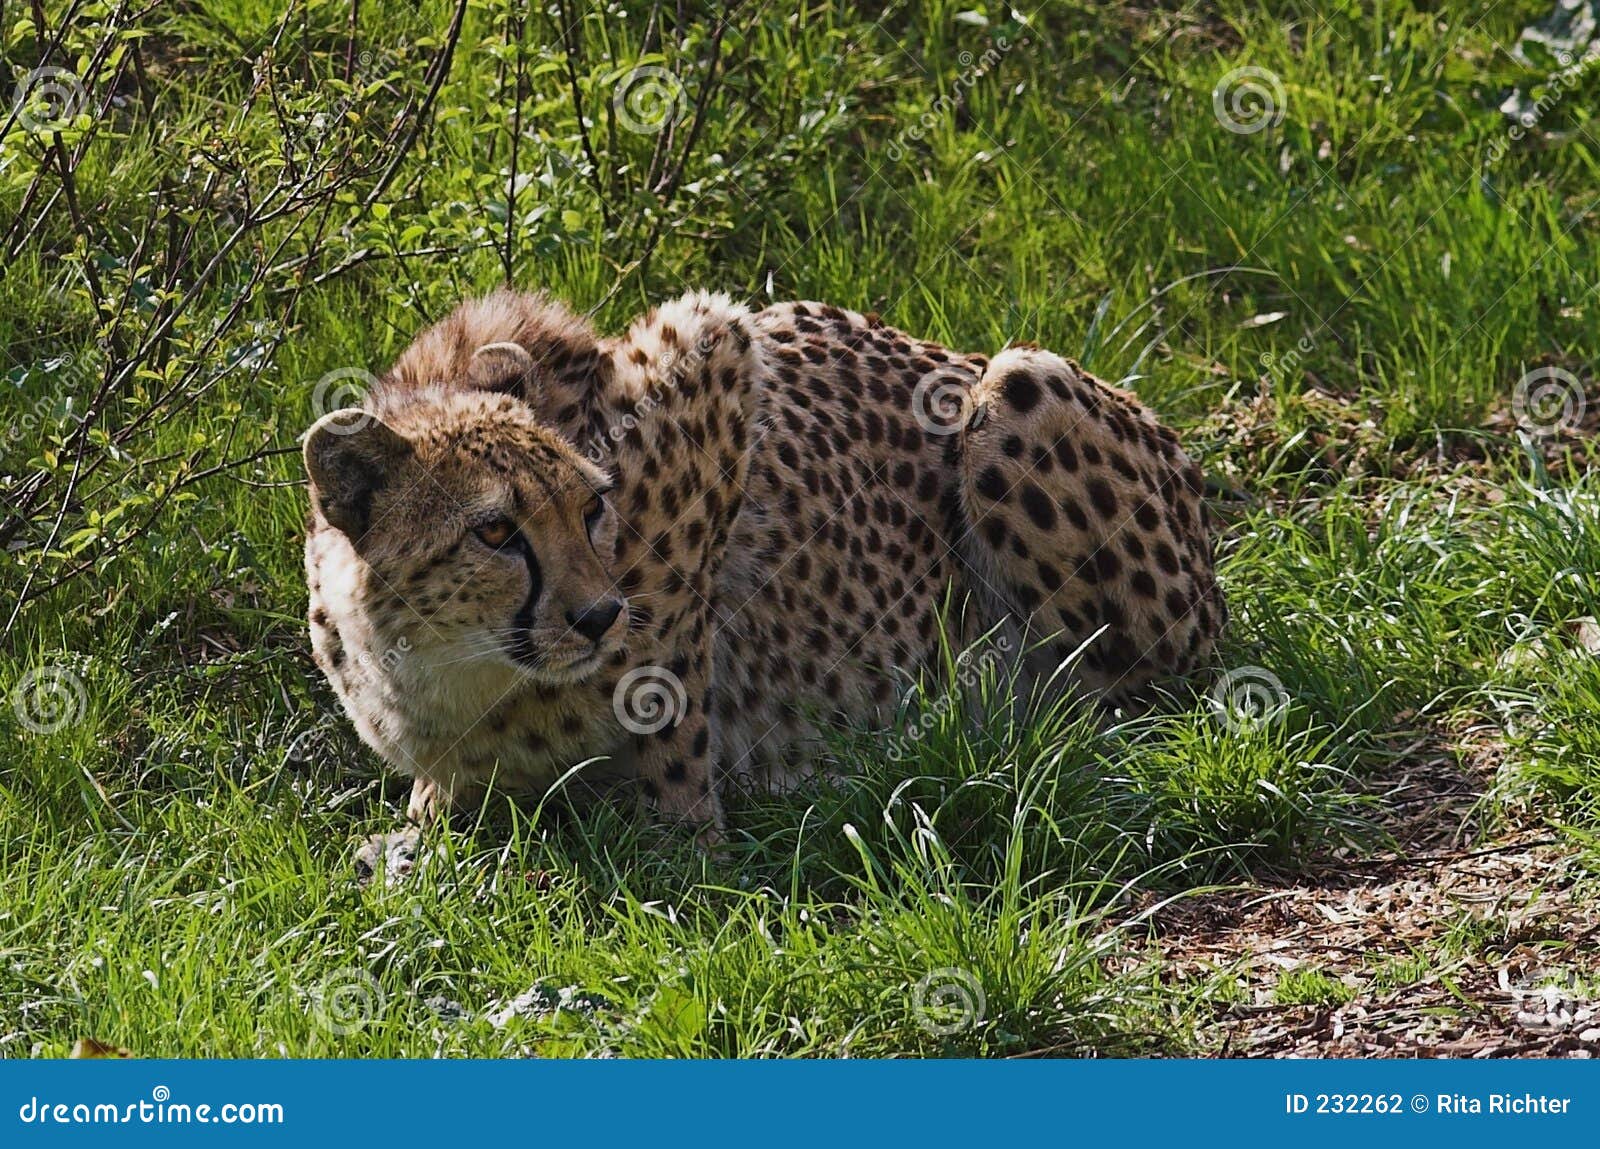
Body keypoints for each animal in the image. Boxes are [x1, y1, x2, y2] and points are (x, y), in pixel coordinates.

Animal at [302, 288, 1225, 860]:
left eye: (593, 505)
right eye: (494, 529)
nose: (599, 615)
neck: (452, 672)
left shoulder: (712, 358)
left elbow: (668, 701)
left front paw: (689, 851)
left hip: (1021, 385)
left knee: (1155, 694)